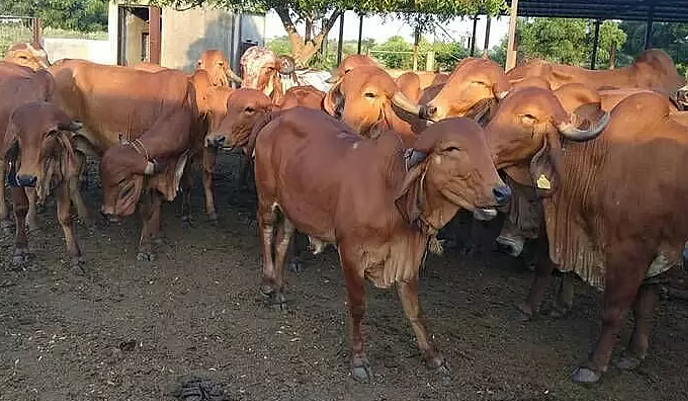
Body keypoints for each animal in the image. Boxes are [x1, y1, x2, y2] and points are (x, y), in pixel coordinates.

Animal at [3, 101, 83, 268]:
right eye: (18, 134)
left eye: (50, 133)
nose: (27, 178)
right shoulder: (14, 171)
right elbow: (20, 209)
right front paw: (20, 249)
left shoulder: (62, 174)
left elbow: (65, 216)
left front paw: (74, 254)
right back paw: (6, 219)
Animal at [253, 107, 511, 381]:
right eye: (452, 148)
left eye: (485, 147)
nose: (503, 193)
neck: (390, 192)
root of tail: (277, 118)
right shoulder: (351, 252)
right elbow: (358, 306)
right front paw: (358, 359)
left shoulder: (407, 259)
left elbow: (415, 310)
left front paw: (433, 356)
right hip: (267, 198)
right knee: (266, 230)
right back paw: (268, 284)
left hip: (292, 209)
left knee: (282, 242)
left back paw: (279, 293)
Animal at [486, 87, 688, 384]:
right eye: (500, 108)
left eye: (528, 117)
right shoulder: (658, 255)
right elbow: (644, 308)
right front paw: (633, 355)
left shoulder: (631, 254)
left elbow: (614, 311)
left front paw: (593, 366)